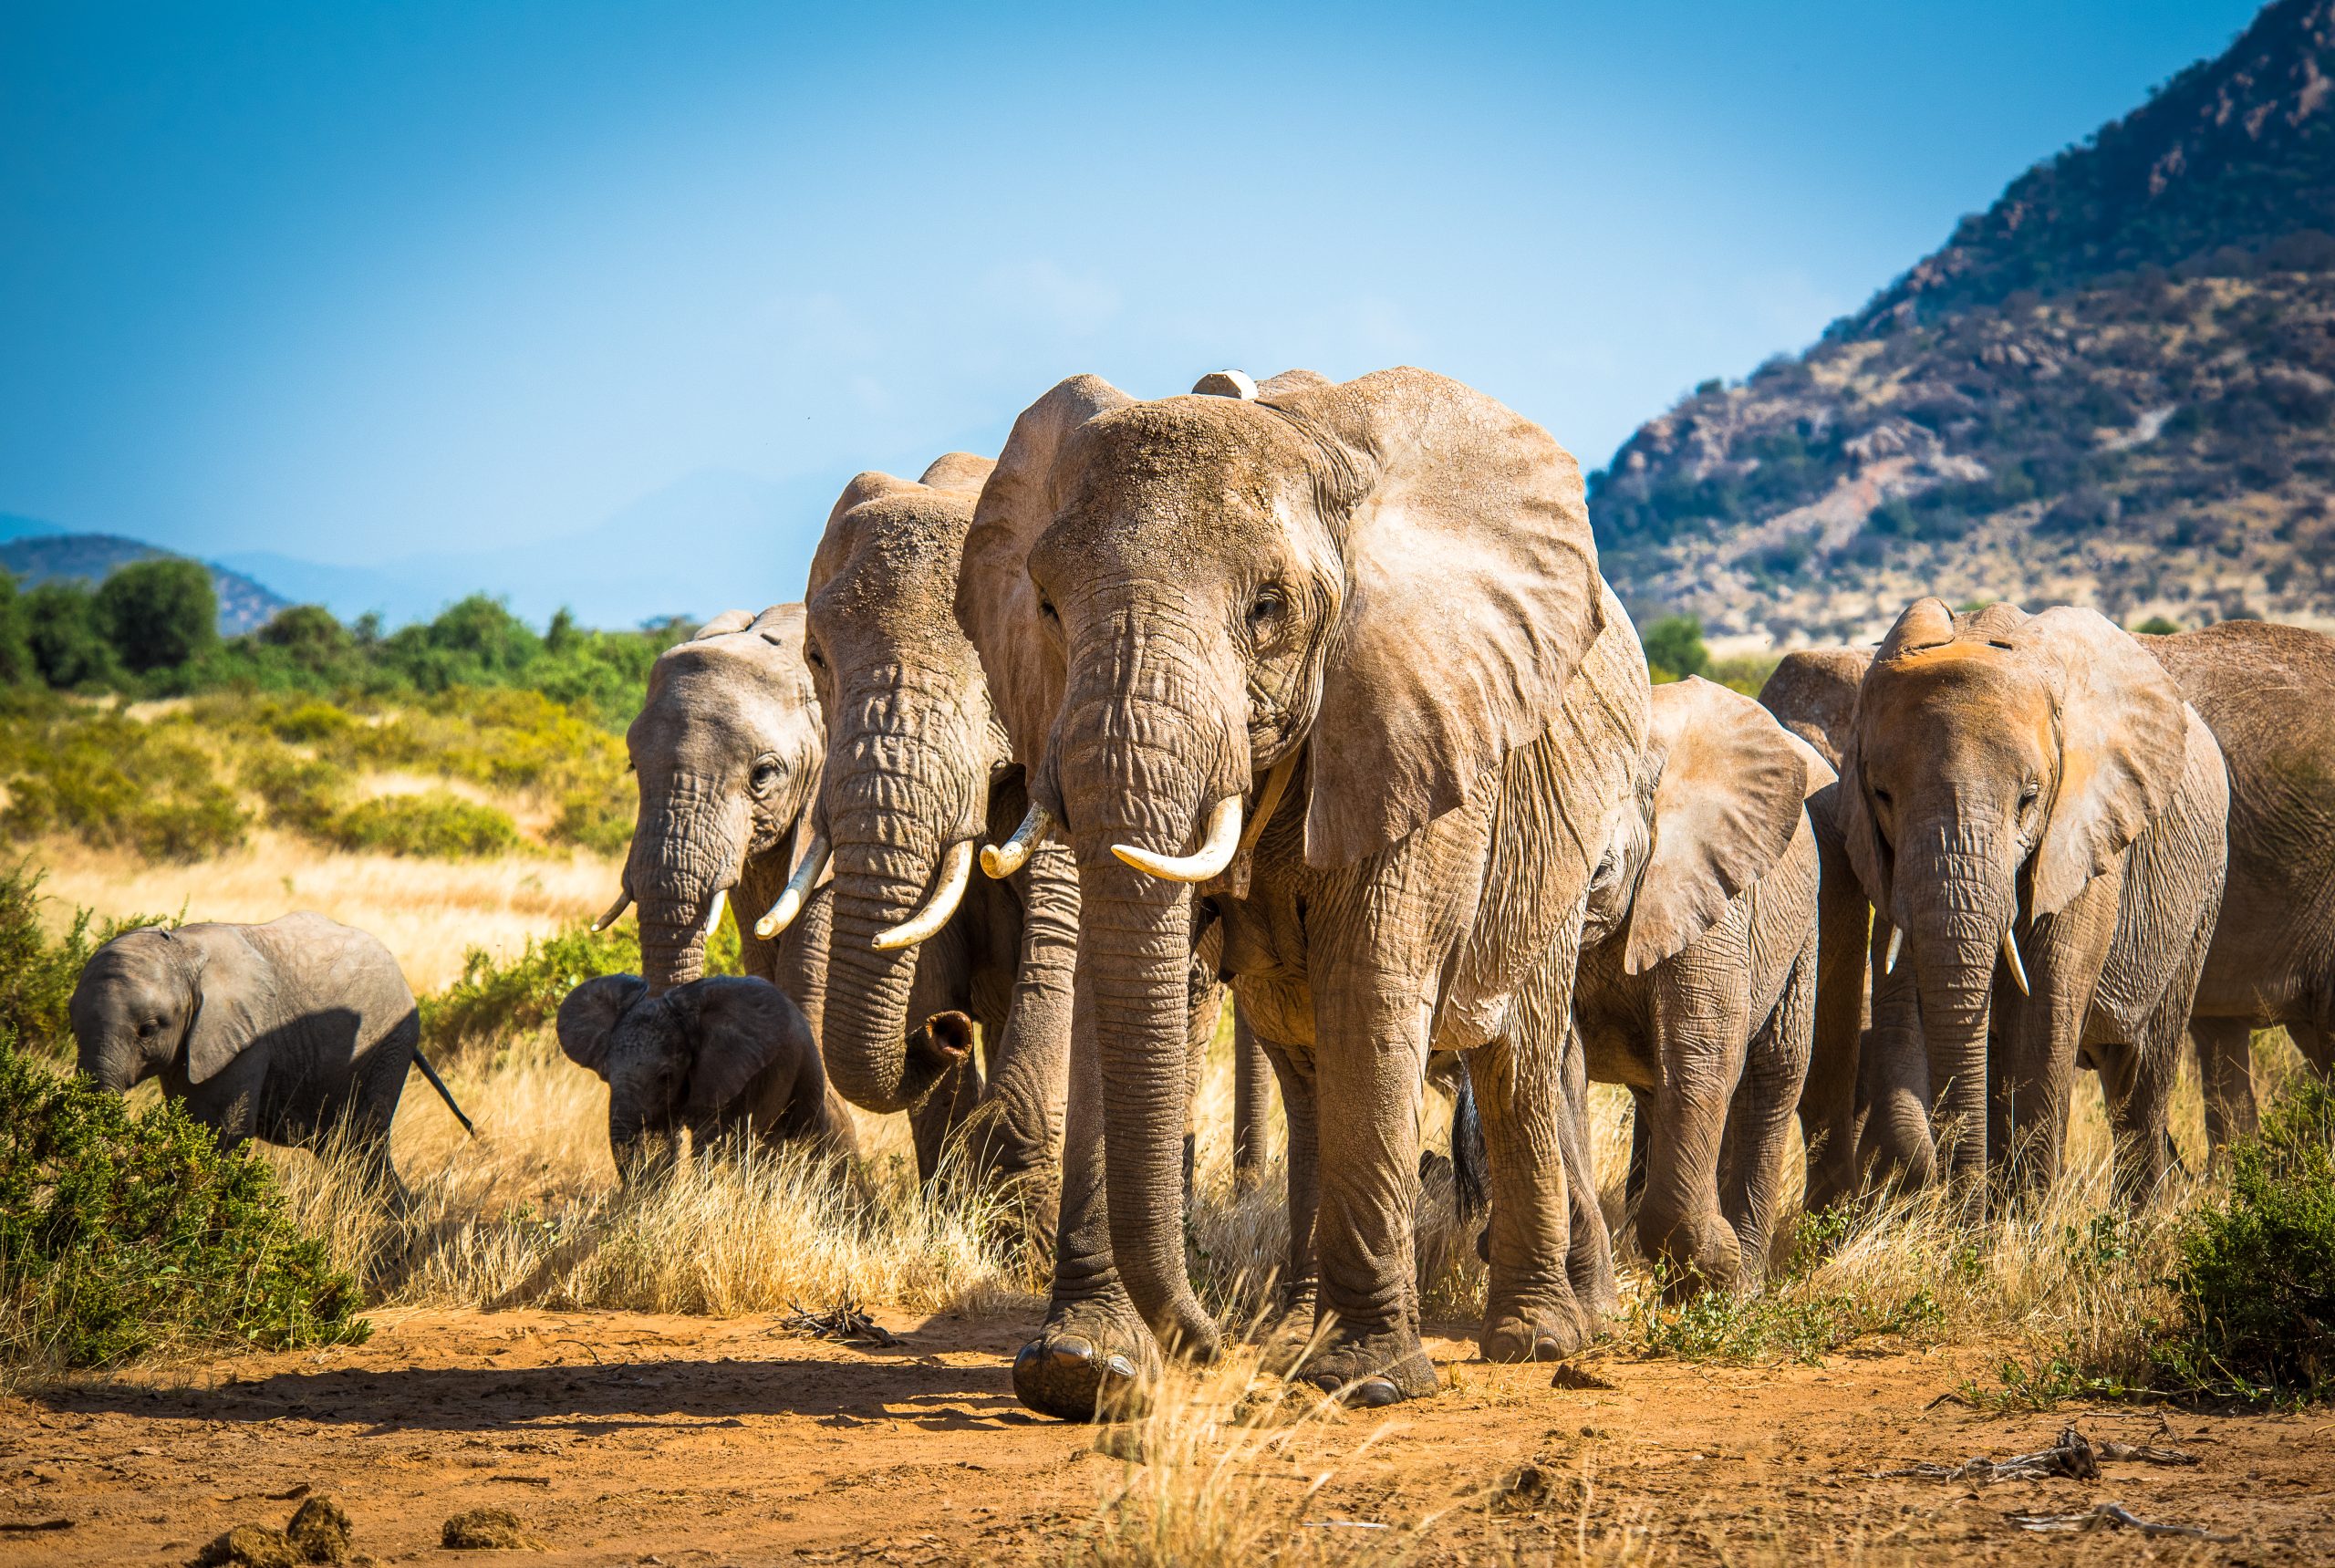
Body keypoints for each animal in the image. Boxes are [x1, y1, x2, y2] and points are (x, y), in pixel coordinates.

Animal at [71, 913, 464, 1195]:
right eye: (73, 1027)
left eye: (149, 1029)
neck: (181, 946)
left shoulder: (246, 1039)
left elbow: (219, 1132)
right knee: (341, 1149)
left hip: (390, 1045)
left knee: (363, 1143)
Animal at [556, 973, 858, 1180]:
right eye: (606, 1074)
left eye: (666, 1076)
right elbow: (663, 1140)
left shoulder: (730, 1075)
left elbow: (712, 1143)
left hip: (806, 1069)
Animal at [955, 365, 1650, 1413]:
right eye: (1044, 605)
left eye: (1268, 608)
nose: (1207, 1344)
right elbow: (1121, 985)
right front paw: (1082, 1371)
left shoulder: (1414, 723)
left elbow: (1372, 974)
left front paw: (1367, 1385)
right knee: (1314, 1069)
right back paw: (1294, 1335)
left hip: (1561, 848)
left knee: (1518, 1055)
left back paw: (1532, 1339)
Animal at [1576, 676, 1826, 1289]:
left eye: (1601, 873)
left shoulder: (1710, 895)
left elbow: (1701, 1053)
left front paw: (1718, 1268)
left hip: (1799, 929)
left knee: (1772, 1075)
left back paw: (1746, 1285)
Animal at [1836, 599, 2228, 1208]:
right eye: (1882, 795)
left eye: (2028, 799)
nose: (1964, 1217)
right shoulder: (1887, 863)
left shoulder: (2085, 841)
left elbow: (2042, 1011)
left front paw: (2018, 1224)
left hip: (2200, 902)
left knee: (2141, 1080)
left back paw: (2139, 1224)